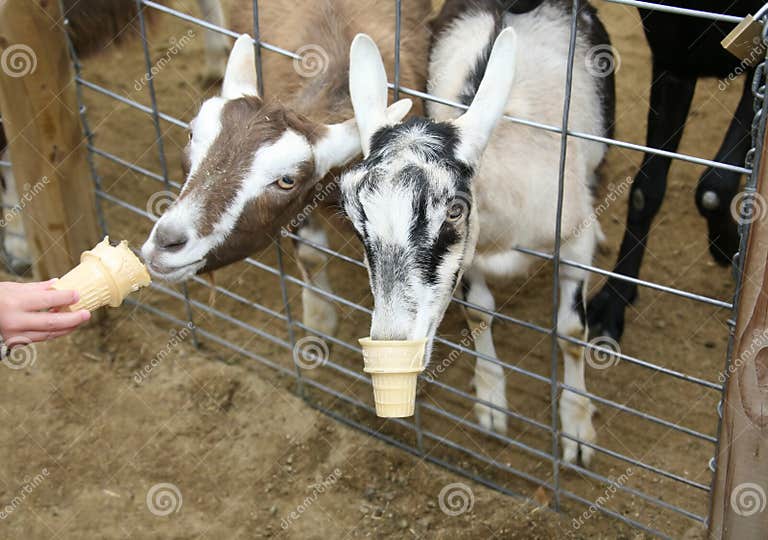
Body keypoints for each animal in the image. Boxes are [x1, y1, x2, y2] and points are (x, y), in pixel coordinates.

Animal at [339, 0, 615, 465]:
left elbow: (572, 333)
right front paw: (490, 403)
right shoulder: (470, 258)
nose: (394, 342)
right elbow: (479, 314)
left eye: (455, 210)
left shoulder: (573, 238)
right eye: (355, 217)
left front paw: (578, 427)